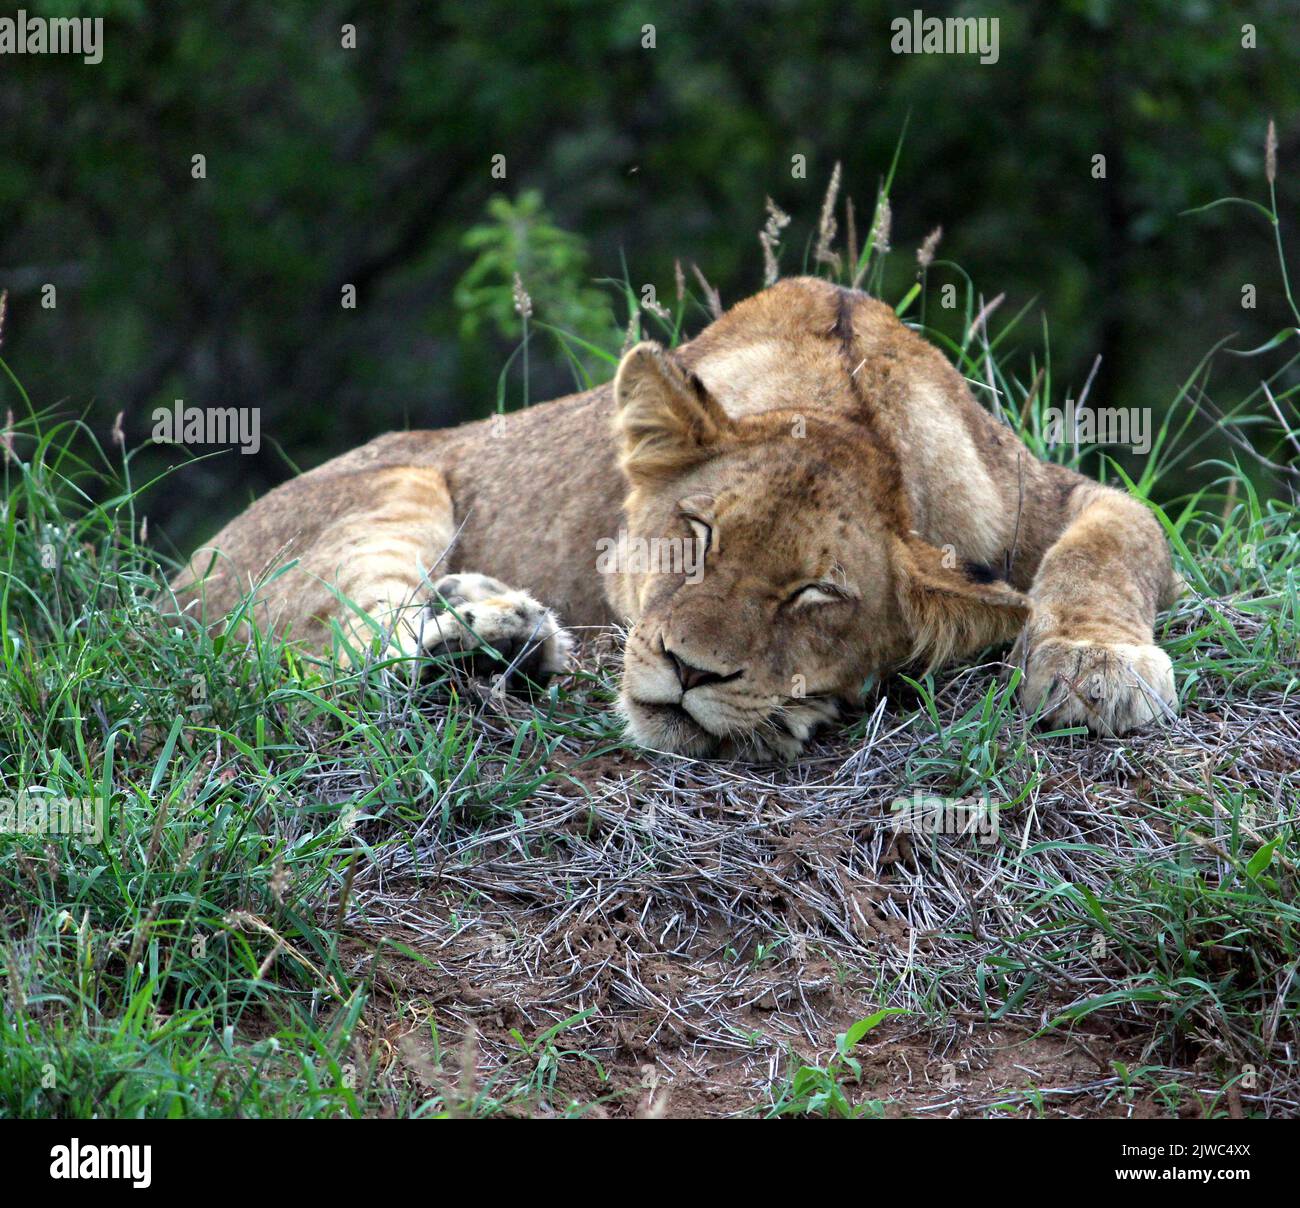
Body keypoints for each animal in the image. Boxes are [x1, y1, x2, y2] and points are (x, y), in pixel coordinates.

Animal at [173, 277, 1179, 759]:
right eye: (697, 532)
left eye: (815, 595)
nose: (690, 671)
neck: (838, 402)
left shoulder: (1051, 493)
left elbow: (1116, 541)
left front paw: (1096, 662)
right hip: (403, 480)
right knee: (329, 653)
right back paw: (494, 639)